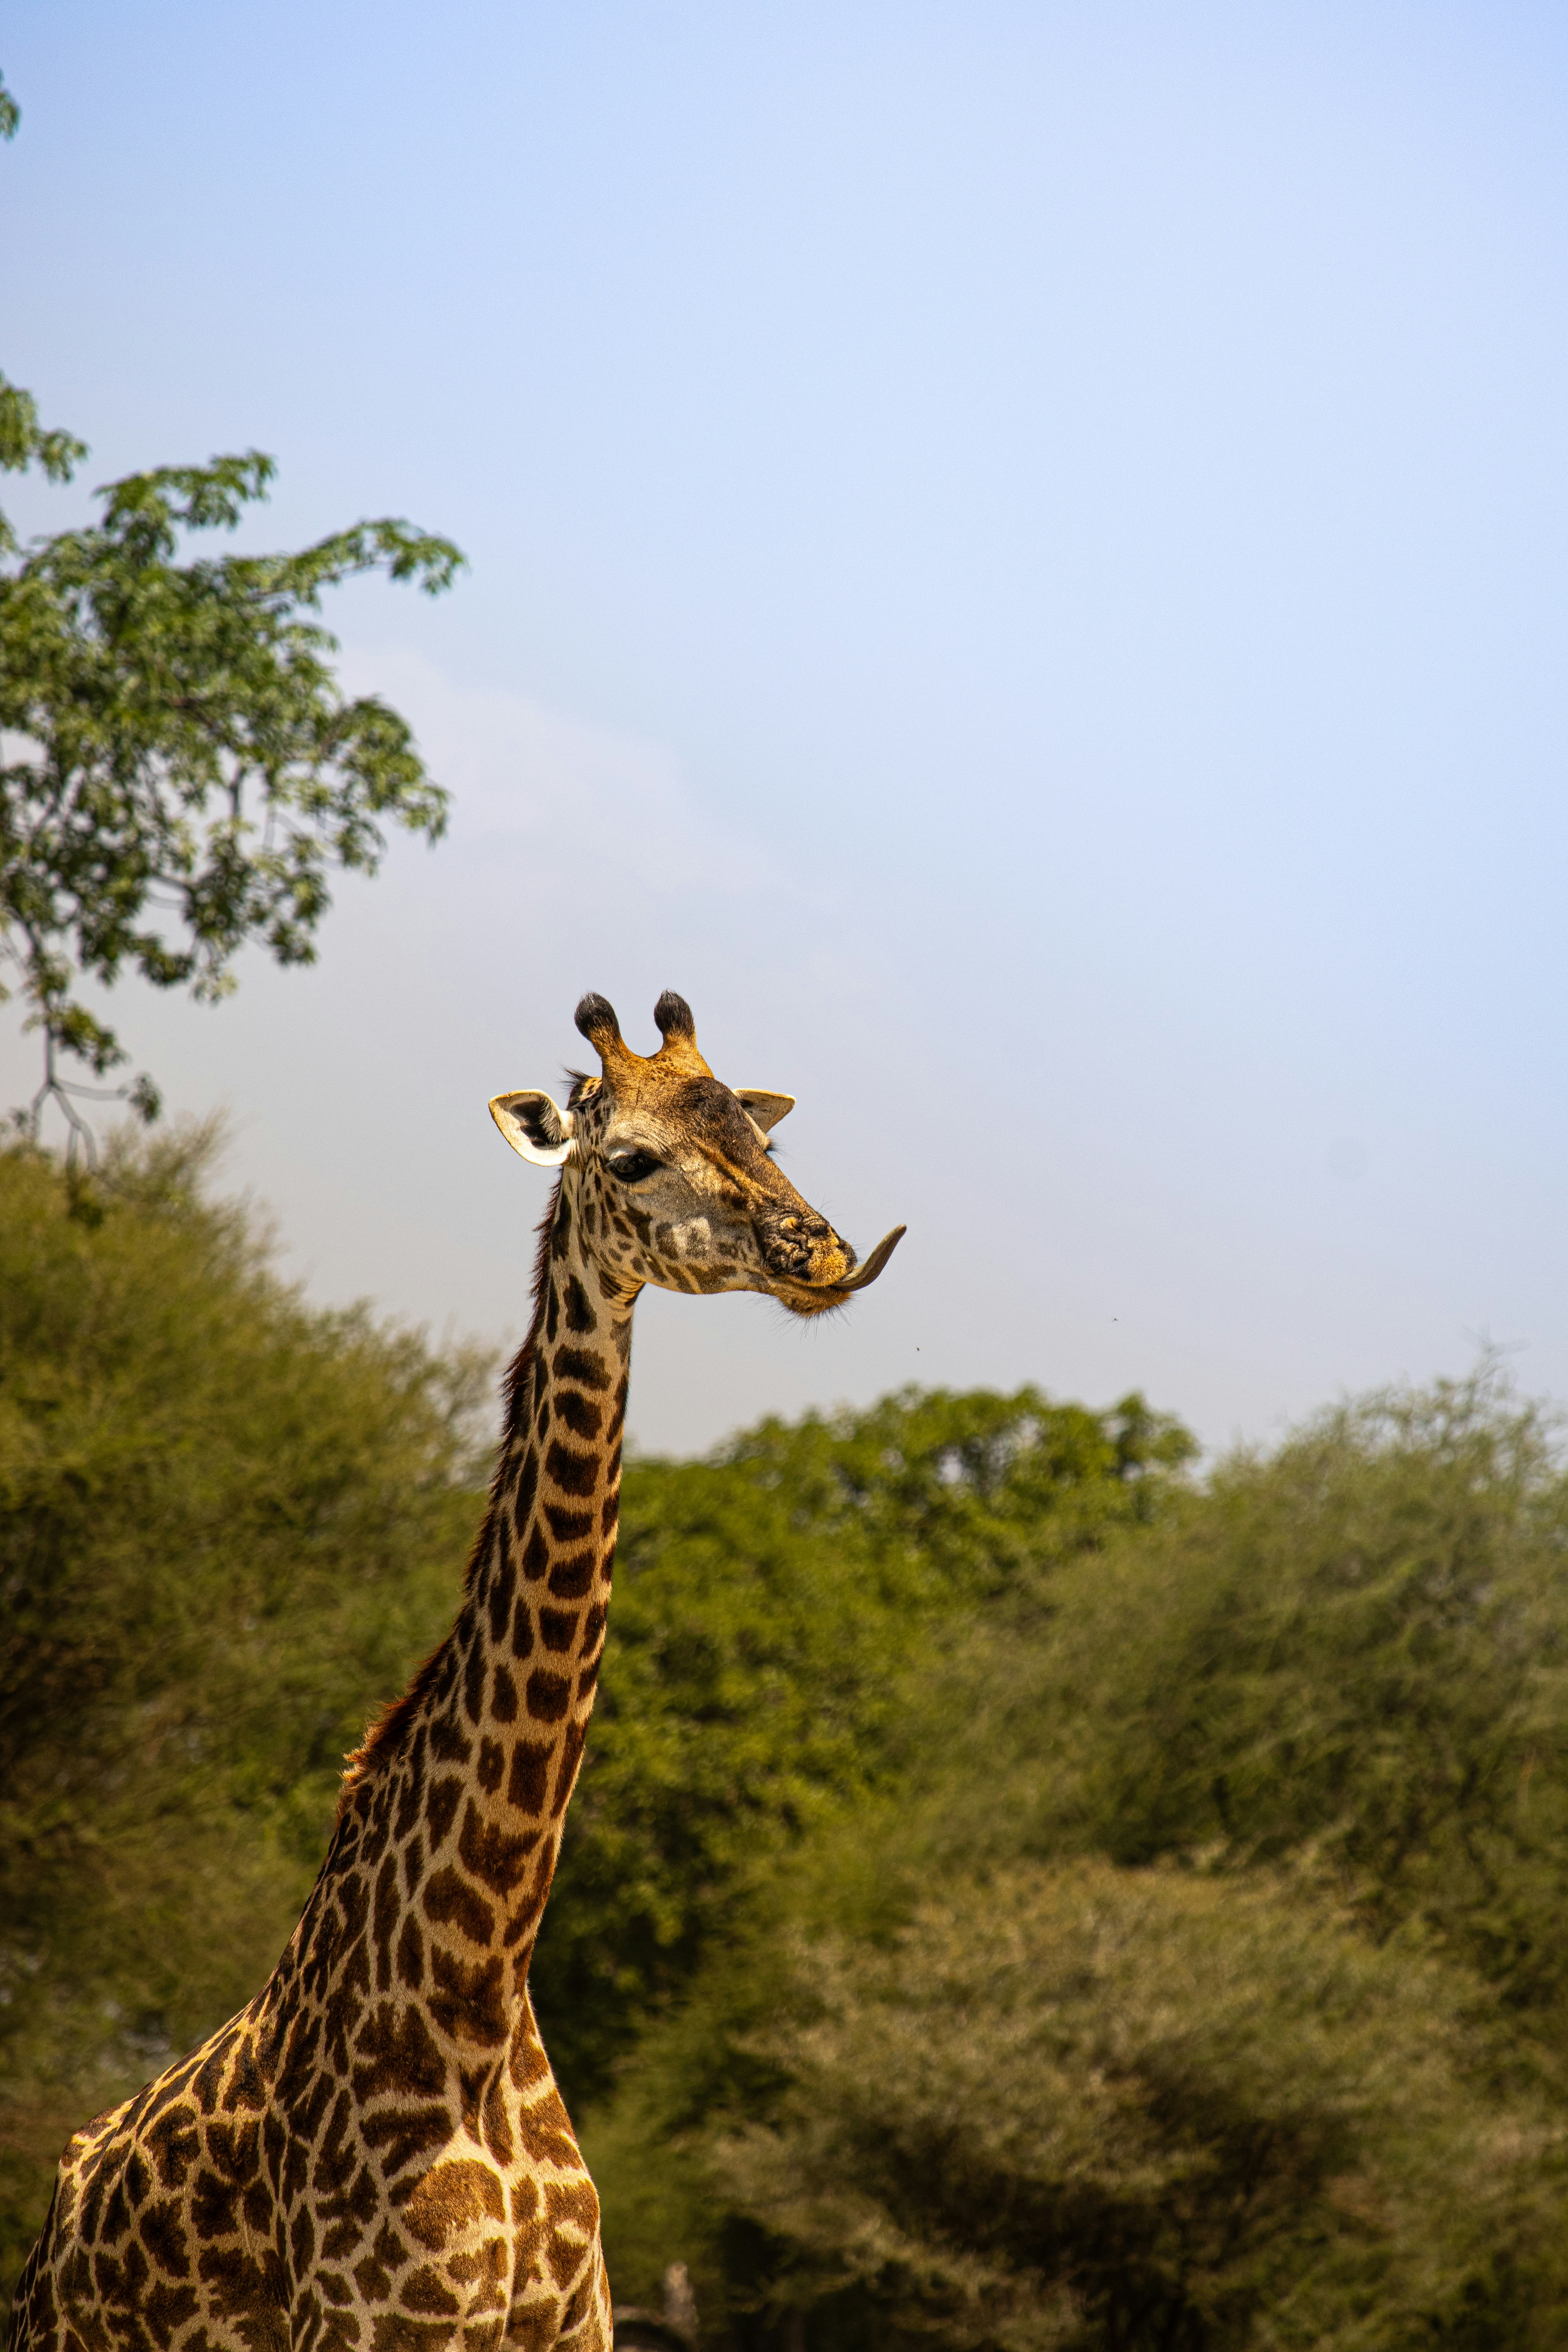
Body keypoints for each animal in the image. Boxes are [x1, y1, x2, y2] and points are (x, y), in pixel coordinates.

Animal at [8, 990, 904, 2352]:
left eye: (760, 1131)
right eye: (627, 1157)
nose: (818, 1250)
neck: (477, 1983)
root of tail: (52, 2230)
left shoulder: (580, 2327)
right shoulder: (374, 2326)